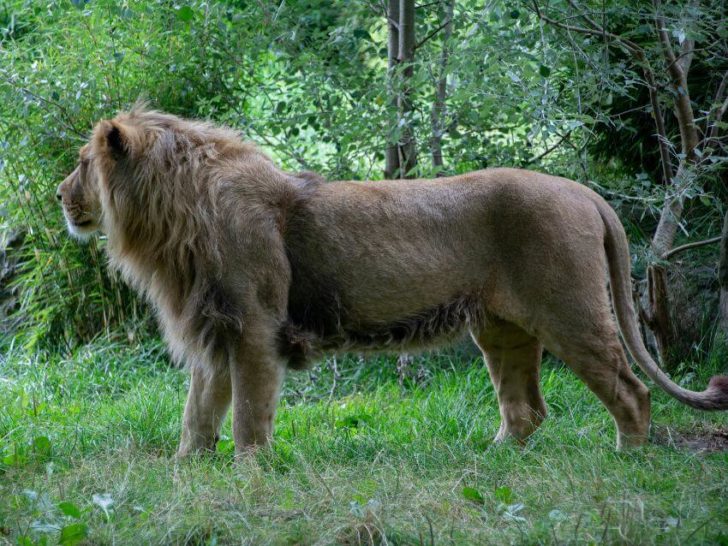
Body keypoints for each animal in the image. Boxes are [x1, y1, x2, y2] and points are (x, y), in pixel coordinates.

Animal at [57, 105, 728, 457]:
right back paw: (491, 459)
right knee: (528, 409)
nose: (59, 194)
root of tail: (584, 192)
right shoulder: (214, 330)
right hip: (502, 330)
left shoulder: (253, 331)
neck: (171, 224)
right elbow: (197, 413)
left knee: (629, 390)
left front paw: (250, 472)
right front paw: (187, 470)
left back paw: (625, 456)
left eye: (83, 164)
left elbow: (247, 414)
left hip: (571, 313)